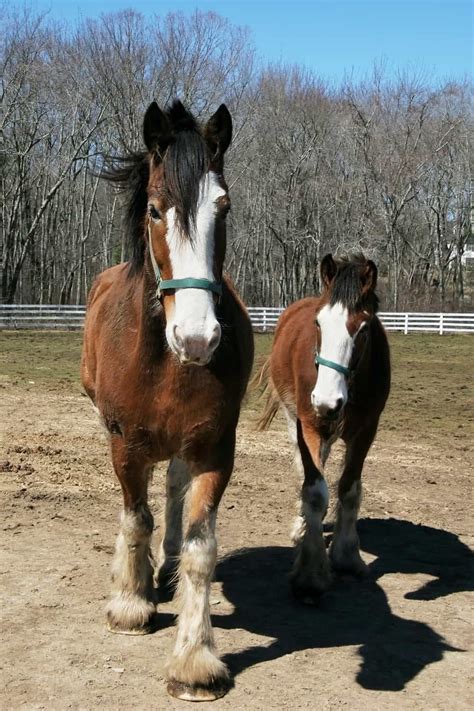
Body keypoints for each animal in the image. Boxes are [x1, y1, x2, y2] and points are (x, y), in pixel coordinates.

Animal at [81, 100, 254, 701]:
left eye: (223, 207)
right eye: (156, 211)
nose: (197, 338)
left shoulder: (215, 452)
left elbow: (202, 548)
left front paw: (195, 660)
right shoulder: (126, 444)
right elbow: (136, 518)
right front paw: (130, 603)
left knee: (175, 489)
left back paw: (169, 569)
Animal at [258, 254, 390, 604]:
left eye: (363, 328)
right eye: (319, 324)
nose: (328, 400)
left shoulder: (366, 431)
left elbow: (349, 489)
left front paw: (346, 555)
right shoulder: (309, 426)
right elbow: (315, 492)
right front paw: (310, 572)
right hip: (296, 423)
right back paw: (301, 525)